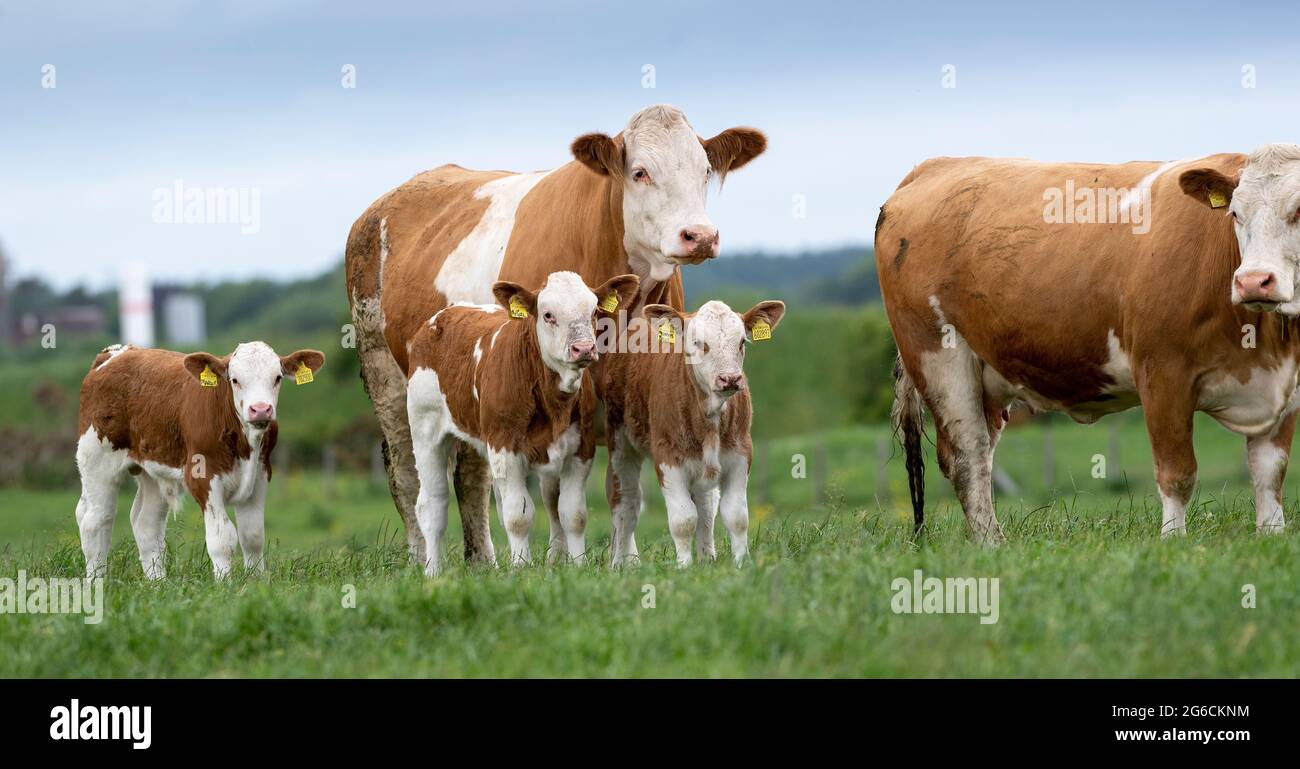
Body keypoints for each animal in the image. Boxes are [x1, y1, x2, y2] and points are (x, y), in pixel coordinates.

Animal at [75, 342, 325, 578]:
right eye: (235, 380)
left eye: (277, 378)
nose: (261, 409)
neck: (244, 444)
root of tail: (115, 352)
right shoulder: (203, 476)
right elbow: (221, 539)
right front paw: (225, 585)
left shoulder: (261, 474)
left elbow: (253, 536)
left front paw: (256, 583)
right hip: (97, 461)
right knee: (95, 520)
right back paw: (96, 581)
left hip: (152, 468)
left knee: (146, 524)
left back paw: (158, 584)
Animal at [405, 271, 640, 575]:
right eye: (548, 314)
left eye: (594, 312)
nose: (584, 349)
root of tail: (444, 315)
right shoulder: (505, 448)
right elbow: (518, 516)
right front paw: (521, 568)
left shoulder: (581, 449)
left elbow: (573, 514)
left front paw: (578, 565)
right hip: (426, 431)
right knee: (432, 504)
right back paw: (433, 571)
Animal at [598, 298, 785, 566]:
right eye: (698, 342)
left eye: (742, 341)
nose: (730, 379)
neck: (709, 416)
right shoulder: (668, 458)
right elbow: (683, 520)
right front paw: (684, 567)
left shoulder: (740, 453)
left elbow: (736, 516)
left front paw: (742, 563)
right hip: (621, 445)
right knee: (626, 503)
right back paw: (623, 563)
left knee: (706, 506)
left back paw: (707, 557)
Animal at [876, 144, 1300, 543]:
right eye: (1235, 214)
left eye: (1298, 210)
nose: (1253, 281)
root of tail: (935, 166)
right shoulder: (1163, 373)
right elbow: (1177, 473)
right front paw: (1173, 543)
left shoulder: (1286, 387)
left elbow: (1270, 474)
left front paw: (1271, 536)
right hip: (937, 354)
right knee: (966, 456)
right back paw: (992, 545)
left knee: (982, 456)